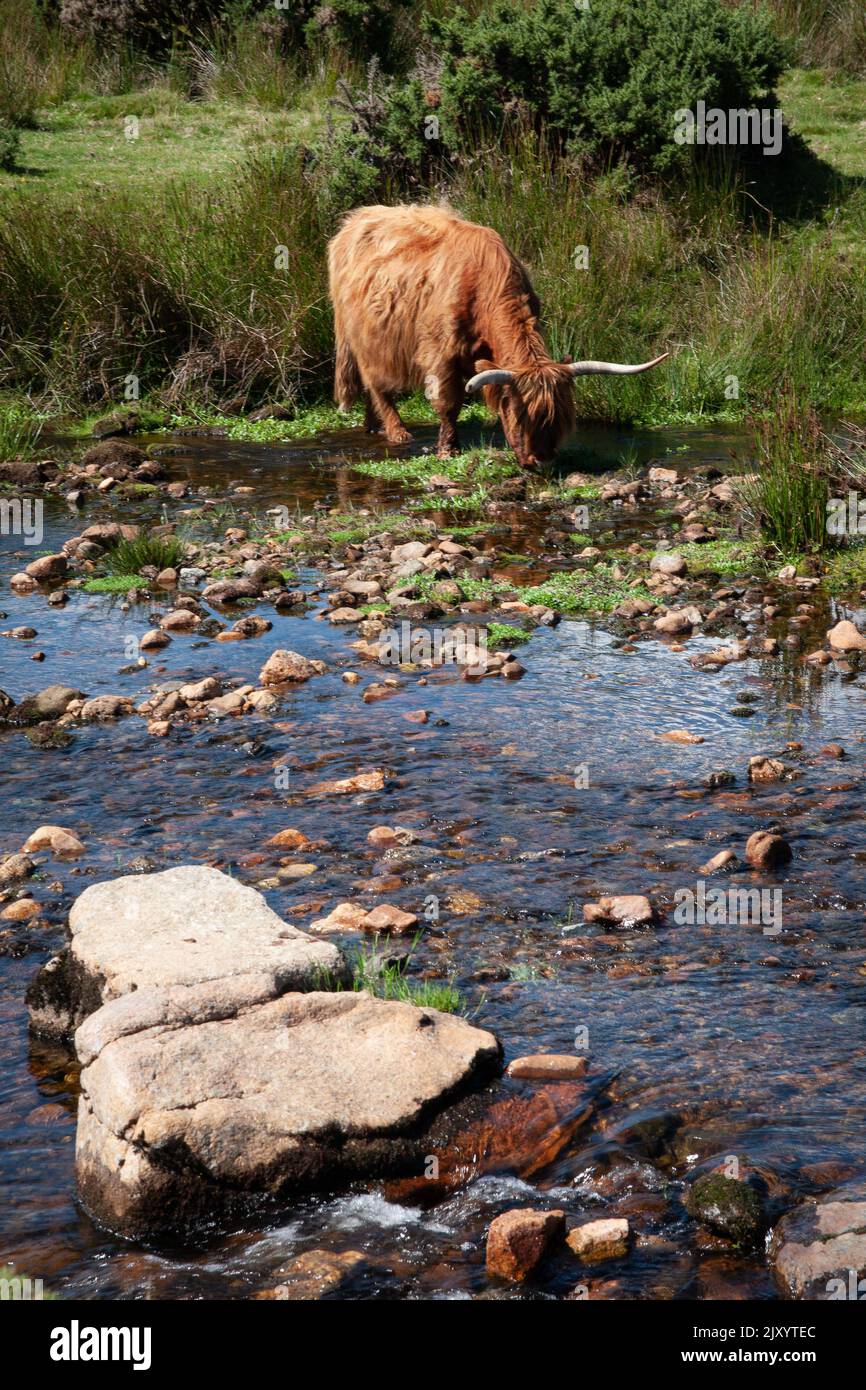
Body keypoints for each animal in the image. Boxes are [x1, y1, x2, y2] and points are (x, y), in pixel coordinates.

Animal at [327, 203, 667, 469]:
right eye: (521, 416)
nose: (542, 461)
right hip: (365, 339)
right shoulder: (441, 356)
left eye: (561, 418)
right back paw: (397, 432)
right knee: (376, 384)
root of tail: (355, 220)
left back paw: (372, 427)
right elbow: (448, 404)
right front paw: (448, 450)